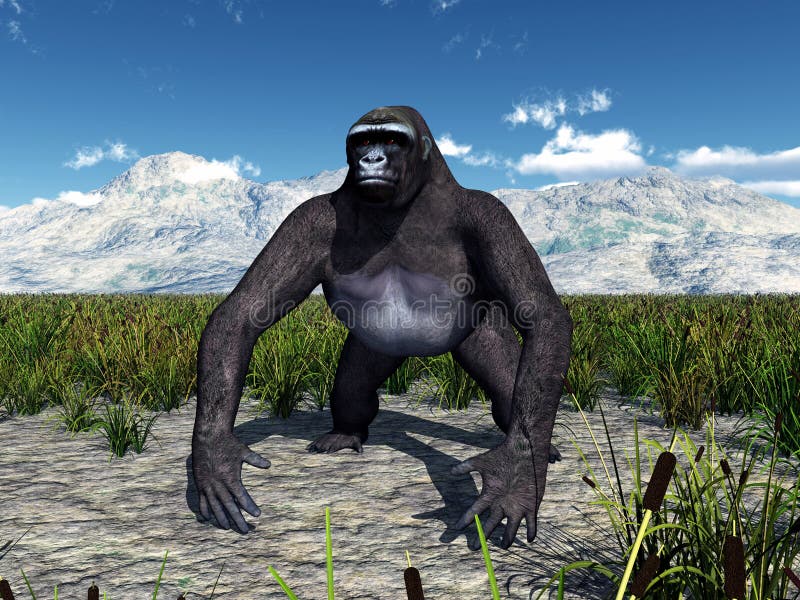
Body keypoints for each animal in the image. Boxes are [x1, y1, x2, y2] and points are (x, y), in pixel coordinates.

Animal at [191, 106, 572, 549]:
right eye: (361, 142)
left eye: (391, 140)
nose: (370, 160)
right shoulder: (307, 221)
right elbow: (242, 314)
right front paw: (214, 457)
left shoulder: (489, 215)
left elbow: (541, 316)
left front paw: (513, 478)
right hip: (375, 349)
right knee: (353, 391)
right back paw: (345, 433)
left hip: (478, 333)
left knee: (510, 392)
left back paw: (540, 450)